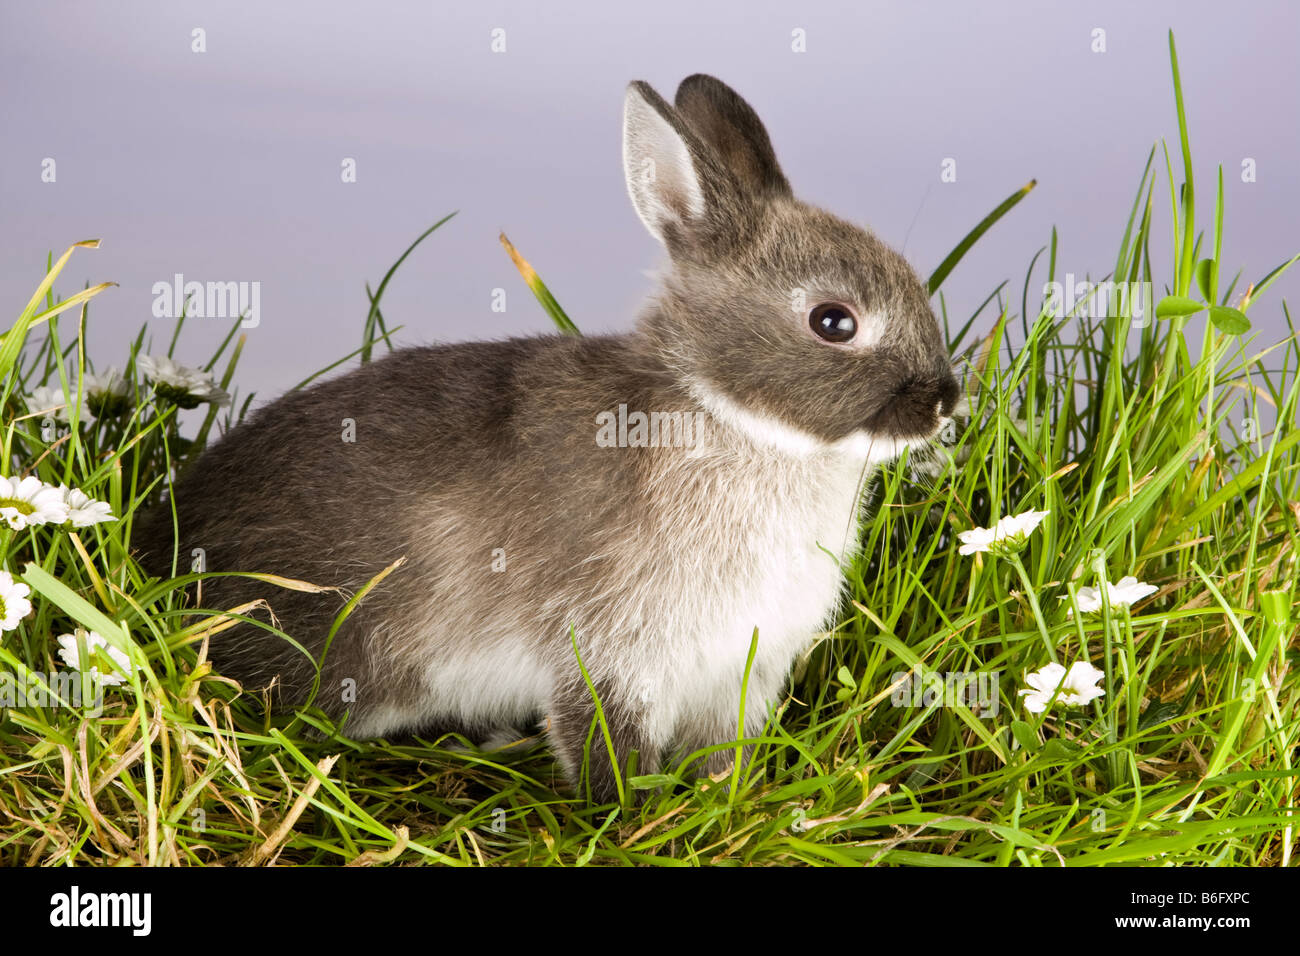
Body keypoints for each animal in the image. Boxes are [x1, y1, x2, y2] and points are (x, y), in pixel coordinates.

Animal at [134, 74, 960, 802]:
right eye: (833, 321)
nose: (945, 402)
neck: (729, 416)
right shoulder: (611, 652)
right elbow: (606, 747)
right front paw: (628, 817)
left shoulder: (738, 673)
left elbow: (722, 755)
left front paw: (725, 800)